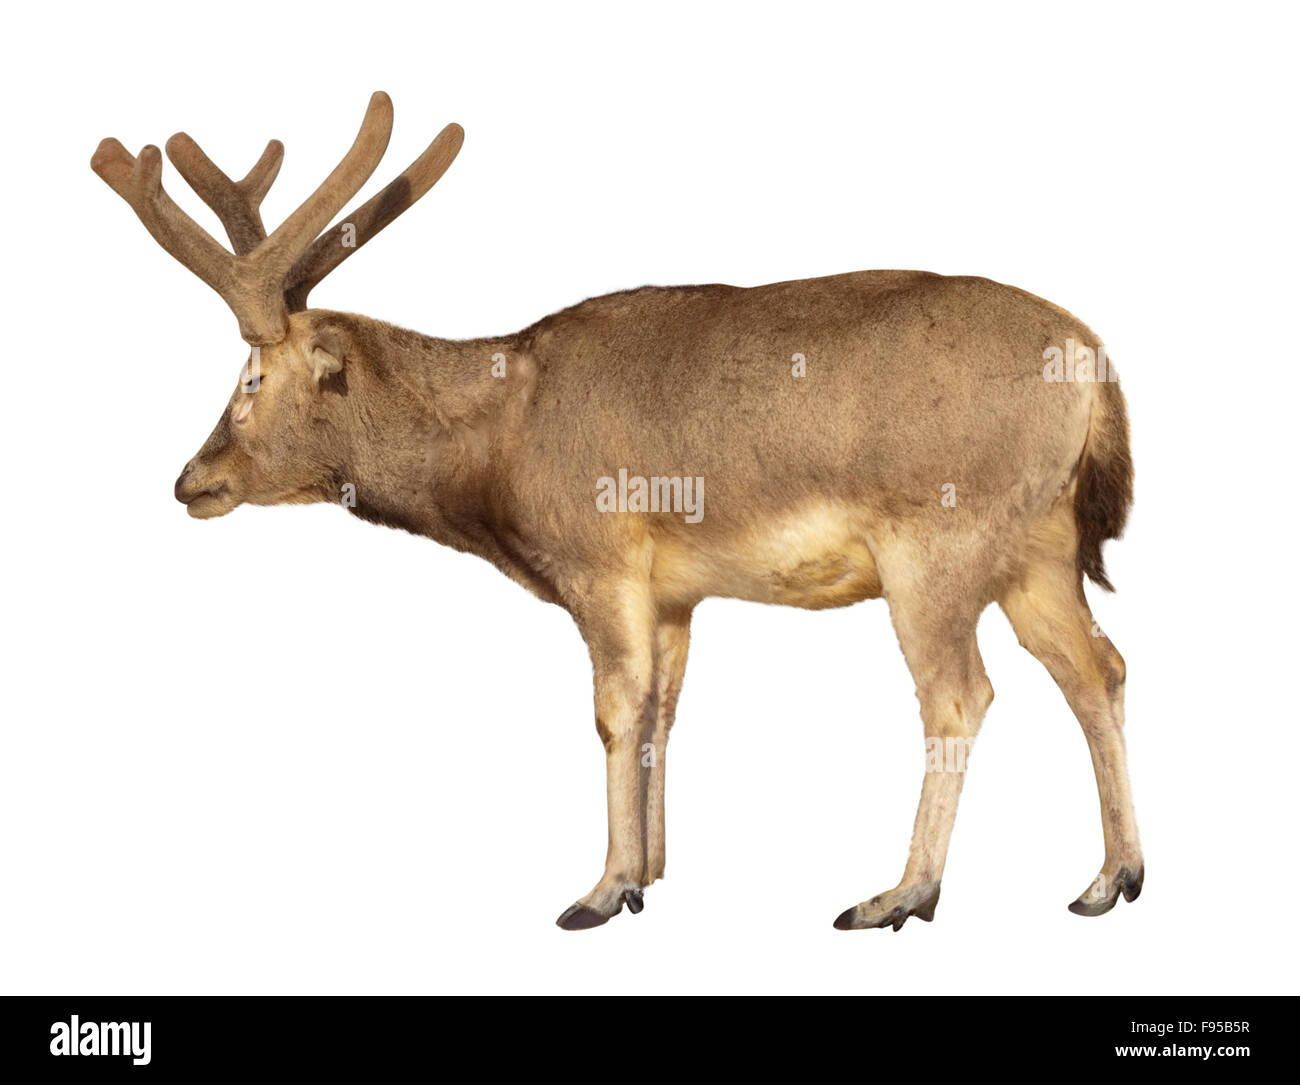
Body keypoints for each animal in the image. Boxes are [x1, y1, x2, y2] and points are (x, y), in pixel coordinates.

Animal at [91, 92, 1141, 932]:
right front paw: (654, 870)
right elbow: (661, 714)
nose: (190, 478)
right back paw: (1111, 879)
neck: (501, 452)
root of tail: (1093, 362)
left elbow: (610, 712)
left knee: (962, 693)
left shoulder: (599, 558)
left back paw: (899, 894)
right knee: (1099, 667)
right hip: (1039, 545)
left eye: (249, 379)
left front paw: (600, 889)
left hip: (937, 542)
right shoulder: (674, 592)